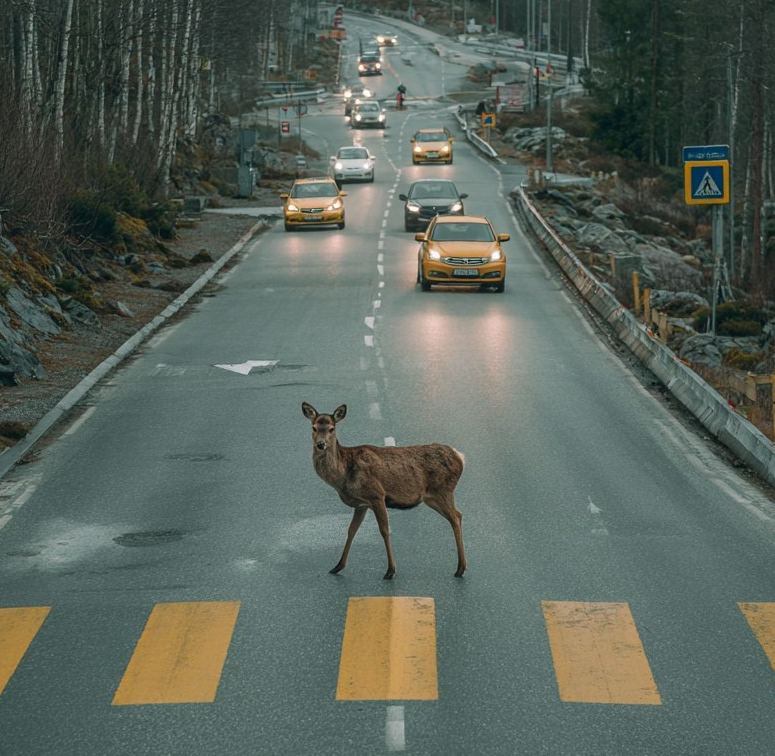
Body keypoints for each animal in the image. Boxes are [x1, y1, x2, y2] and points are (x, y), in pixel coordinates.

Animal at [301, 402, 467, 580]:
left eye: (332, 428)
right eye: (314, 427)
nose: (320, 444)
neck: (343, 475)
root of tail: (460, 457)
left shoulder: (376, 495)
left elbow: (384, 530)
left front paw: (390, 570)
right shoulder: (361, 504)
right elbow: (351, 530)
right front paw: (337, 566)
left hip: (443, 489)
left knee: (455, 517)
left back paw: (460, 568)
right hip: (432, 497)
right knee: (458, 515)